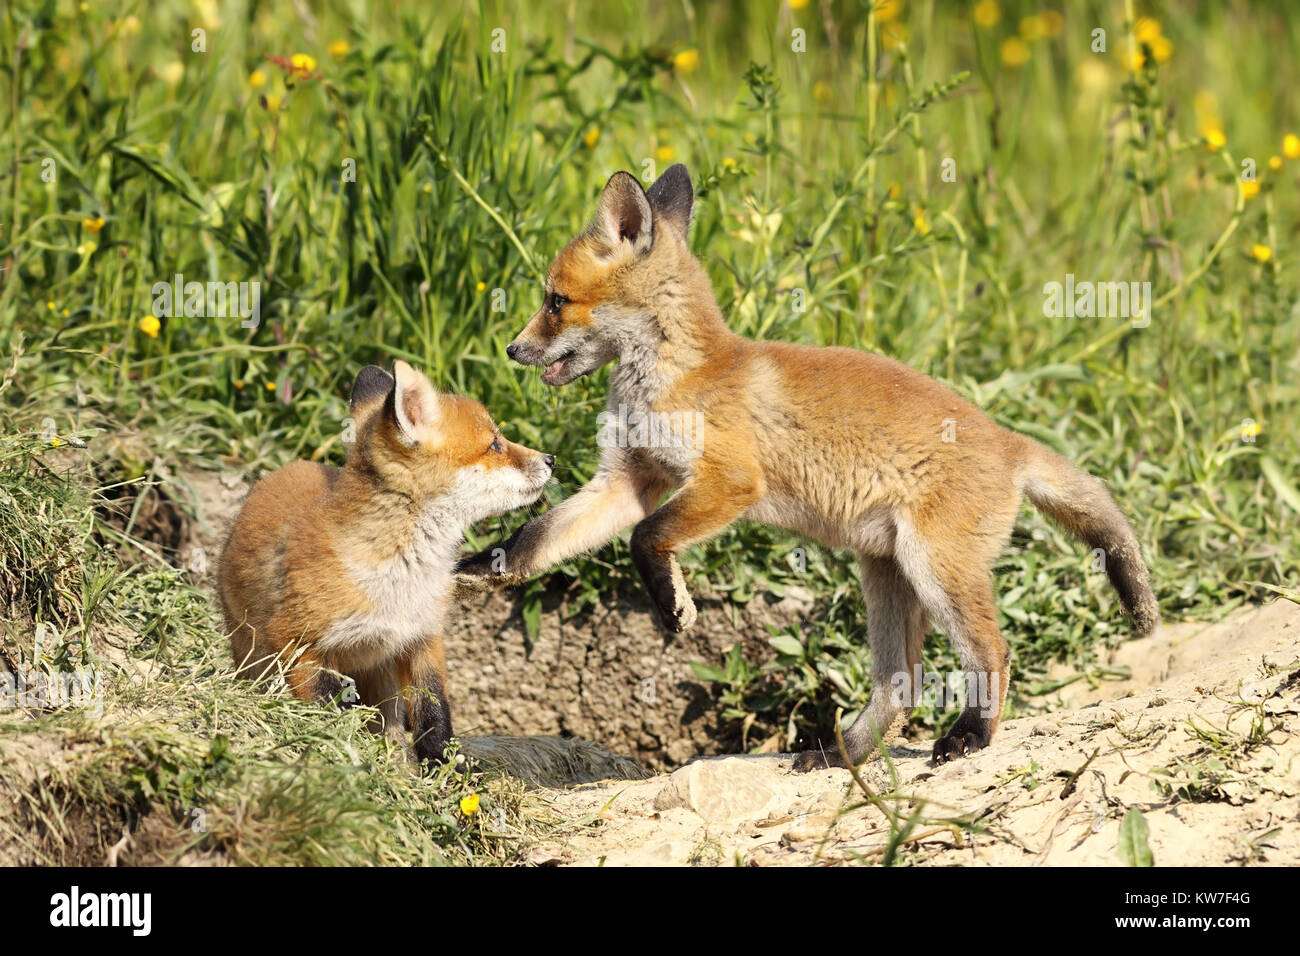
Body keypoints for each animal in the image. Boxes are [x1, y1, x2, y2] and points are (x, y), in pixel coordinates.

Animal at [219, 360, 554, 764]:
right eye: (494, 445)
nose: (551, 459)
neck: (401, 579)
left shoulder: (423, 637)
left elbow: (433, 714)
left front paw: (445, 769)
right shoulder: (296, 641)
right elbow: (327, 709)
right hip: (258, 657)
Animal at [456, 163, 1160, 771]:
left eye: (555, 301)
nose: (511, 348)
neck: (673, 376)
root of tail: (1009, 440)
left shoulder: (728, 482)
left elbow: (646, 538)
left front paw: (672, 603)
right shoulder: (630, 478)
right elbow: (539, 536)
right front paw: (483, 567)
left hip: (935, 569)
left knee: (992, 651)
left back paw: (971, 735)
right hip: (886, 575)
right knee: (901, 683)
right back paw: (843, 754)